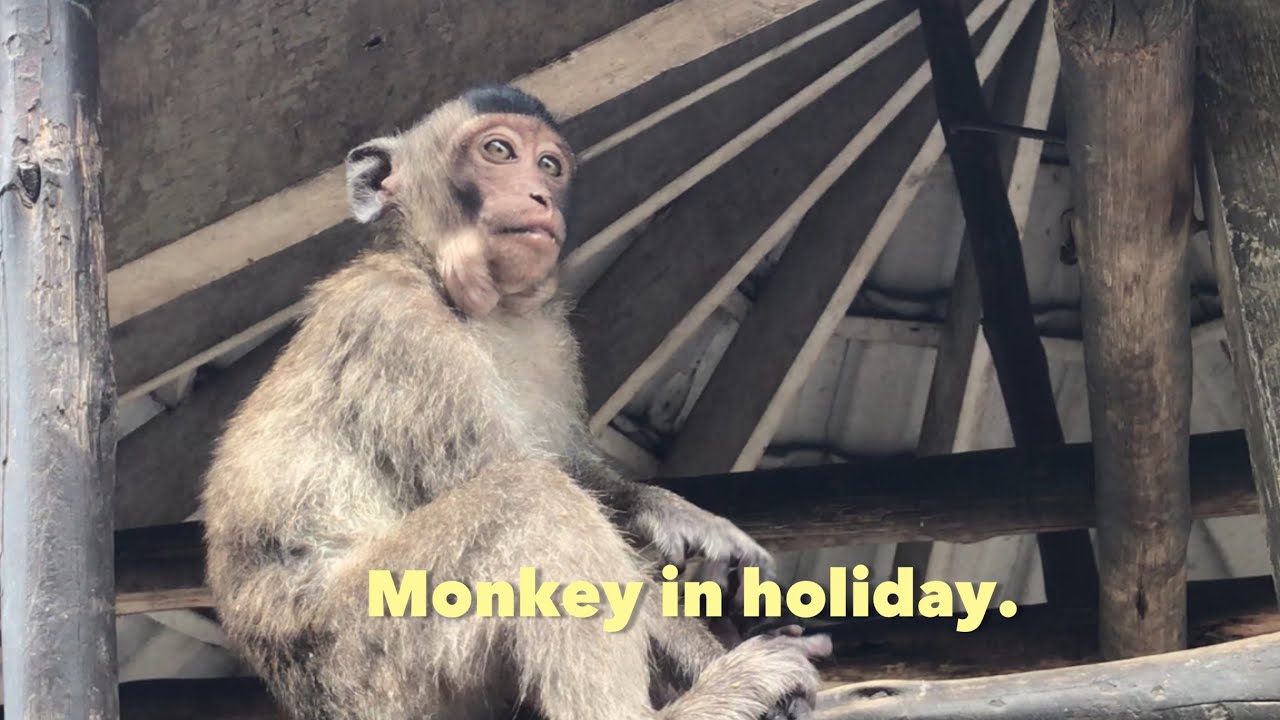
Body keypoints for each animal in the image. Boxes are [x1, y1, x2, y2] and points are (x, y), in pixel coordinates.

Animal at [201, 83, 831, 720]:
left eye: (549, 166)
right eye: (499, 151)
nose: (538, 194)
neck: (448, 286)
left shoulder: (550, 337)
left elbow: (576, 469)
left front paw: (667, 512)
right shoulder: (398, 327)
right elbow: (517, 478)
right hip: (370, 658)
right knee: (525, 498)